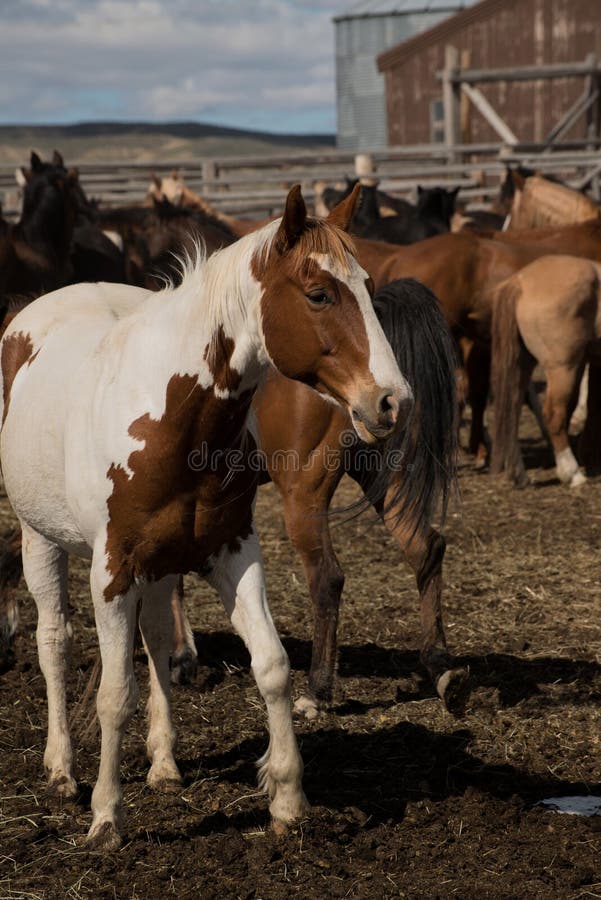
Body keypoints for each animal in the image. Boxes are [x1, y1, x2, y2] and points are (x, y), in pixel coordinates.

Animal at [0, 184, 412, 849]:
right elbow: (114, 692)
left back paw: (165, 763)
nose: (393, 401)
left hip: (162, 561)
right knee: (54, 641)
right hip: (42, 540)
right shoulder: (111, 570)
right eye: (319, 294)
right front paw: (106, 817)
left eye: (368, 286)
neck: (171, 414)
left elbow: (271, 665)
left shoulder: (231, 551)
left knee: (156, 638)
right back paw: (61, 768)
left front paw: (287, 798)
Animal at [490, 255, 601, 488]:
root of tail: (519, 281)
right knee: (553, 414)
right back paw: (571, 472)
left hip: (523, 364)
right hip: (563, 368)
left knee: (513, 407)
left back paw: (518, 474)